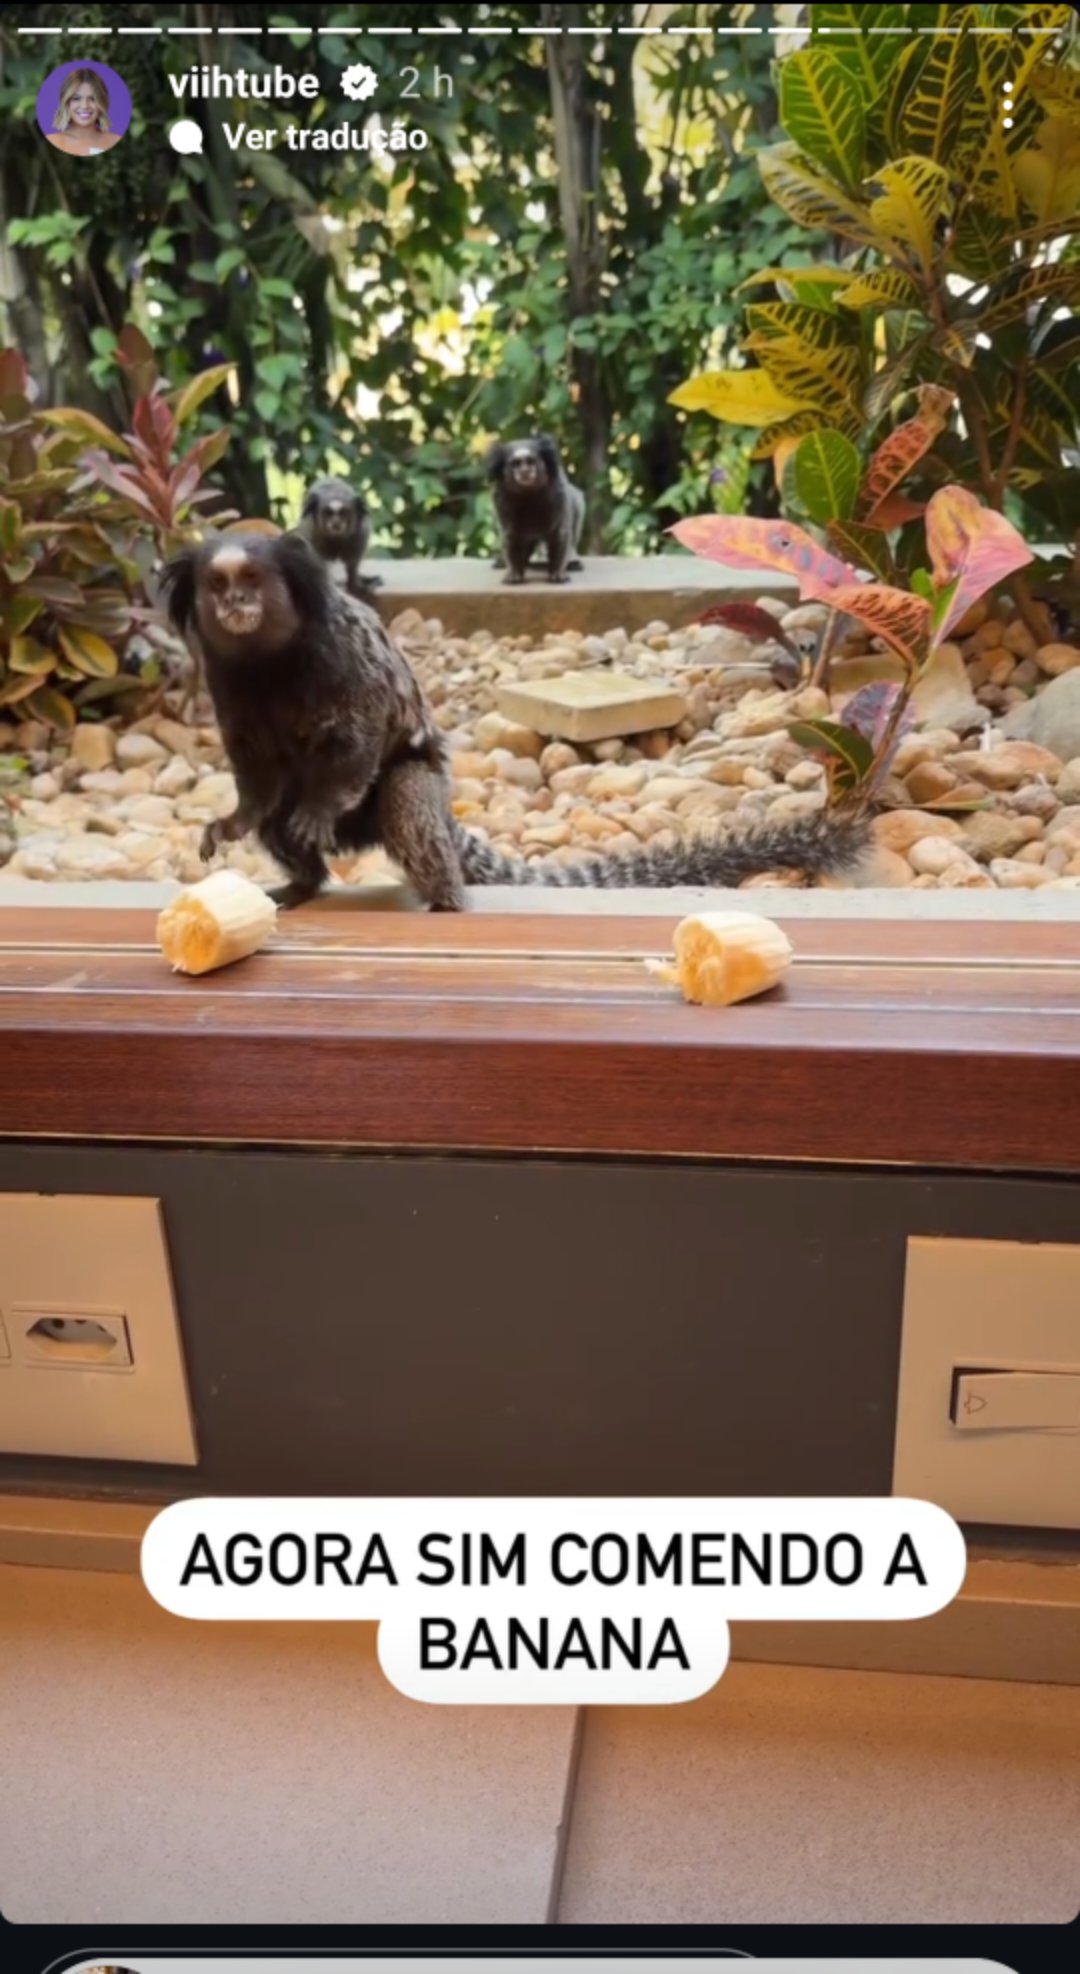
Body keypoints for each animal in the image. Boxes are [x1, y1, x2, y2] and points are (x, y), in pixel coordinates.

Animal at [158, 531, 871, 913]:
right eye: (217, 587)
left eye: (253, 578)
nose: (237, 601)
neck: (269, 662)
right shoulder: (225, 680)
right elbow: (255, 771)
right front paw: (235, 821)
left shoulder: (340, 659)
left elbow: (361, 730)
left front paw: (320, 805)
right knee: (285, 824)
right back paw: (302, 883)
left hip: (419, 792)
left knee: (406, 800)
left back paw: (444, 897)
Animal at [486, 435, 586, 584]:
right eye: (516, 463)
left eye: (530, 461)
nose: (524, 471)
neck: (528, 494)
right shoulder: (500, 500)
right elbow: (510, 535)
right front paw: (514, 572)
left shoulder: (559, 494)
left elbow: (560, 534)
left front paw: (557, 572)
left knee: (577, 505)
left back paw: (573, 560)